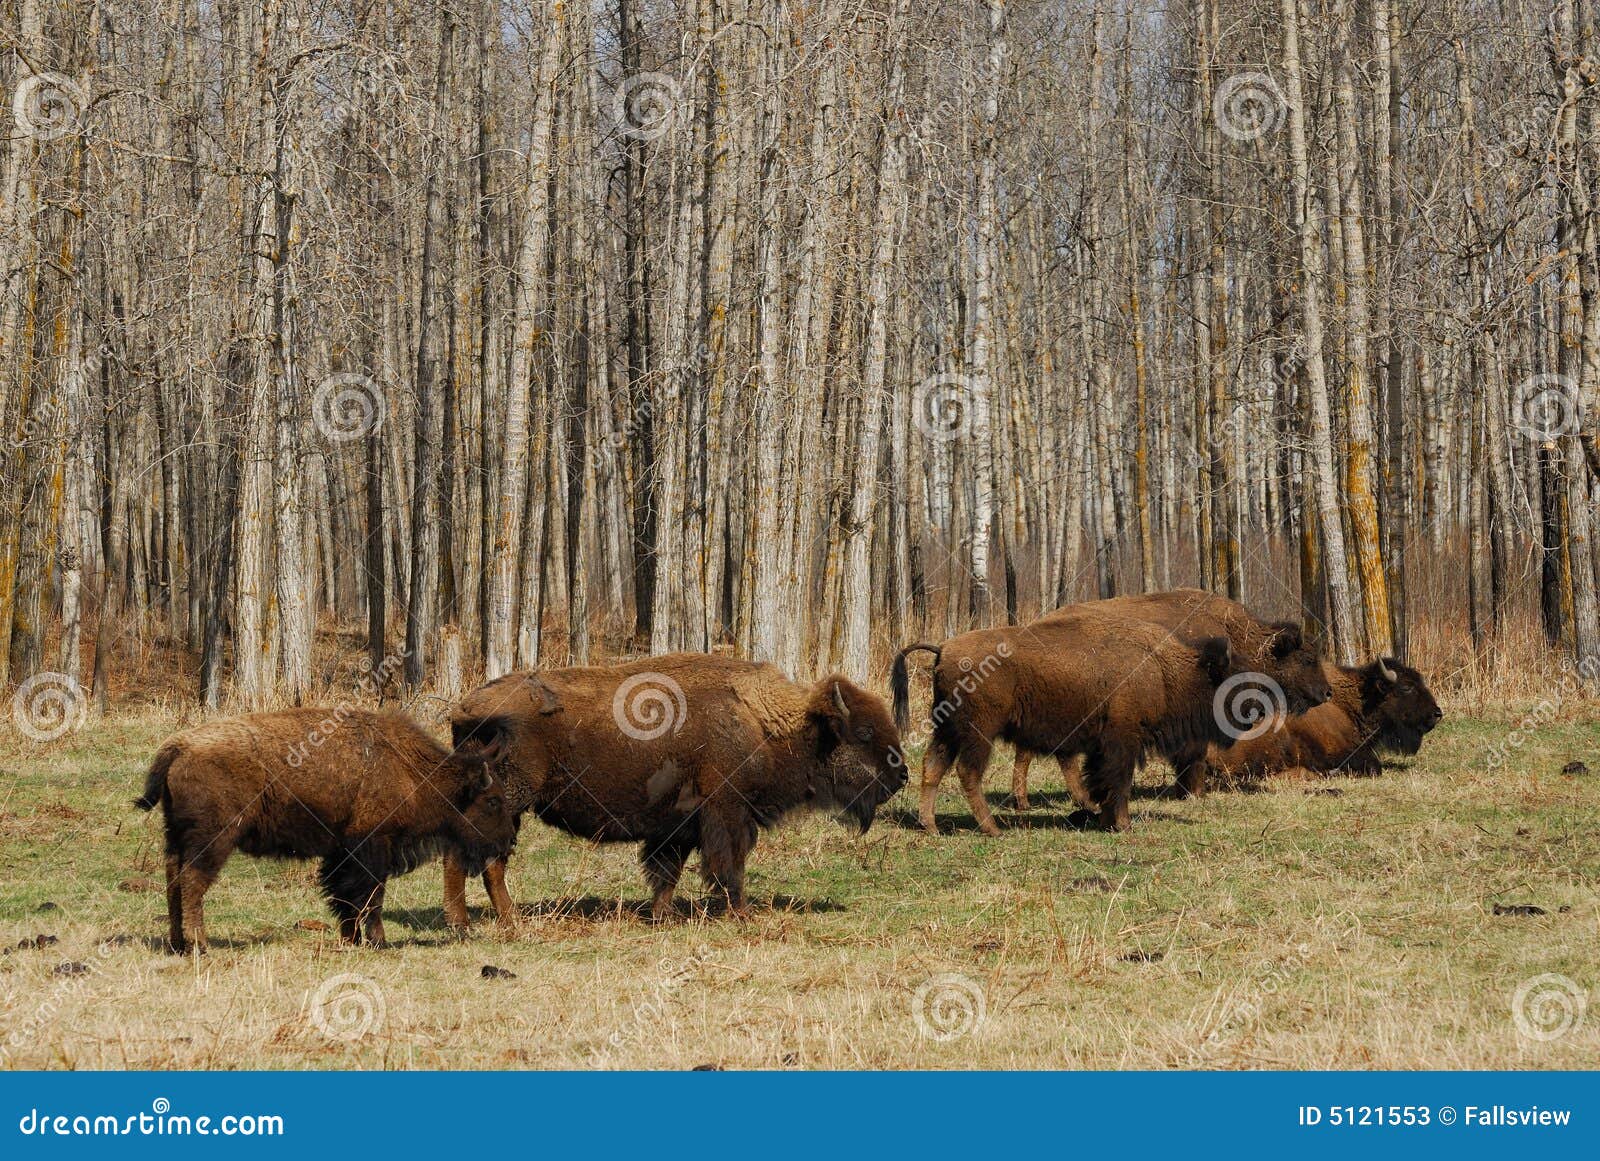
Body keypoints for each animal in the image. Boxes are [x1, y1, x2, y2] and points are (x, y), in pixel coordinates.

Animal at [134, 709, 516, 952]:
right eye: (492, 801)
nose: (509, 841)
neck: (410, 769)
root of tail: (178, 747)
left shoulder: (342, 852)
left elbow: (344, 897)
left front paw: (352, 940)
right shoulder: (372, 847)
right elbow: (370, 897)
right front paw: (378, 942)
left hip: (176, 837)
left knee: (173, 880)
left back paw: (178, 944)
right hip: (213, 840)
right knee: (192, 882)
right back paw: (200, 946)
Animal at [442, 652, 907, 927]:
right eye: (863, 732)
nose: (901, 775)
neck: (765, 722)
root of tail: (465, 710)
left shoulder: (678, 827)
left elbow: (667, 872)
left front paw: (661, 916)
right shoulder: (728, 815)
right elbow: (729, 868)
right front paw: (742, 914)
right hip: (507, 801)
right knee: (479, 860)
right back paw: (487, 921)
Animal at [891, 611, 1247, 835]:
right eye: (1220, 680)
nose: (1246, 714)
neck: (1163, 668)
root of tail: (943, 649)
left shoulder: (1104, 747)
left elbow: (1100, 781)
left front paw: (1105, 821)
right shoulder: (1122, 741)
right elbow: (1118, 782)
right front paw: (1123, 825)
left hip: (947, 730)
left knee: (933, 767)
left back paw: (930, 827)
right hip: (979, 733)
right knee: (968, 773)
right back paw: (993, 829)